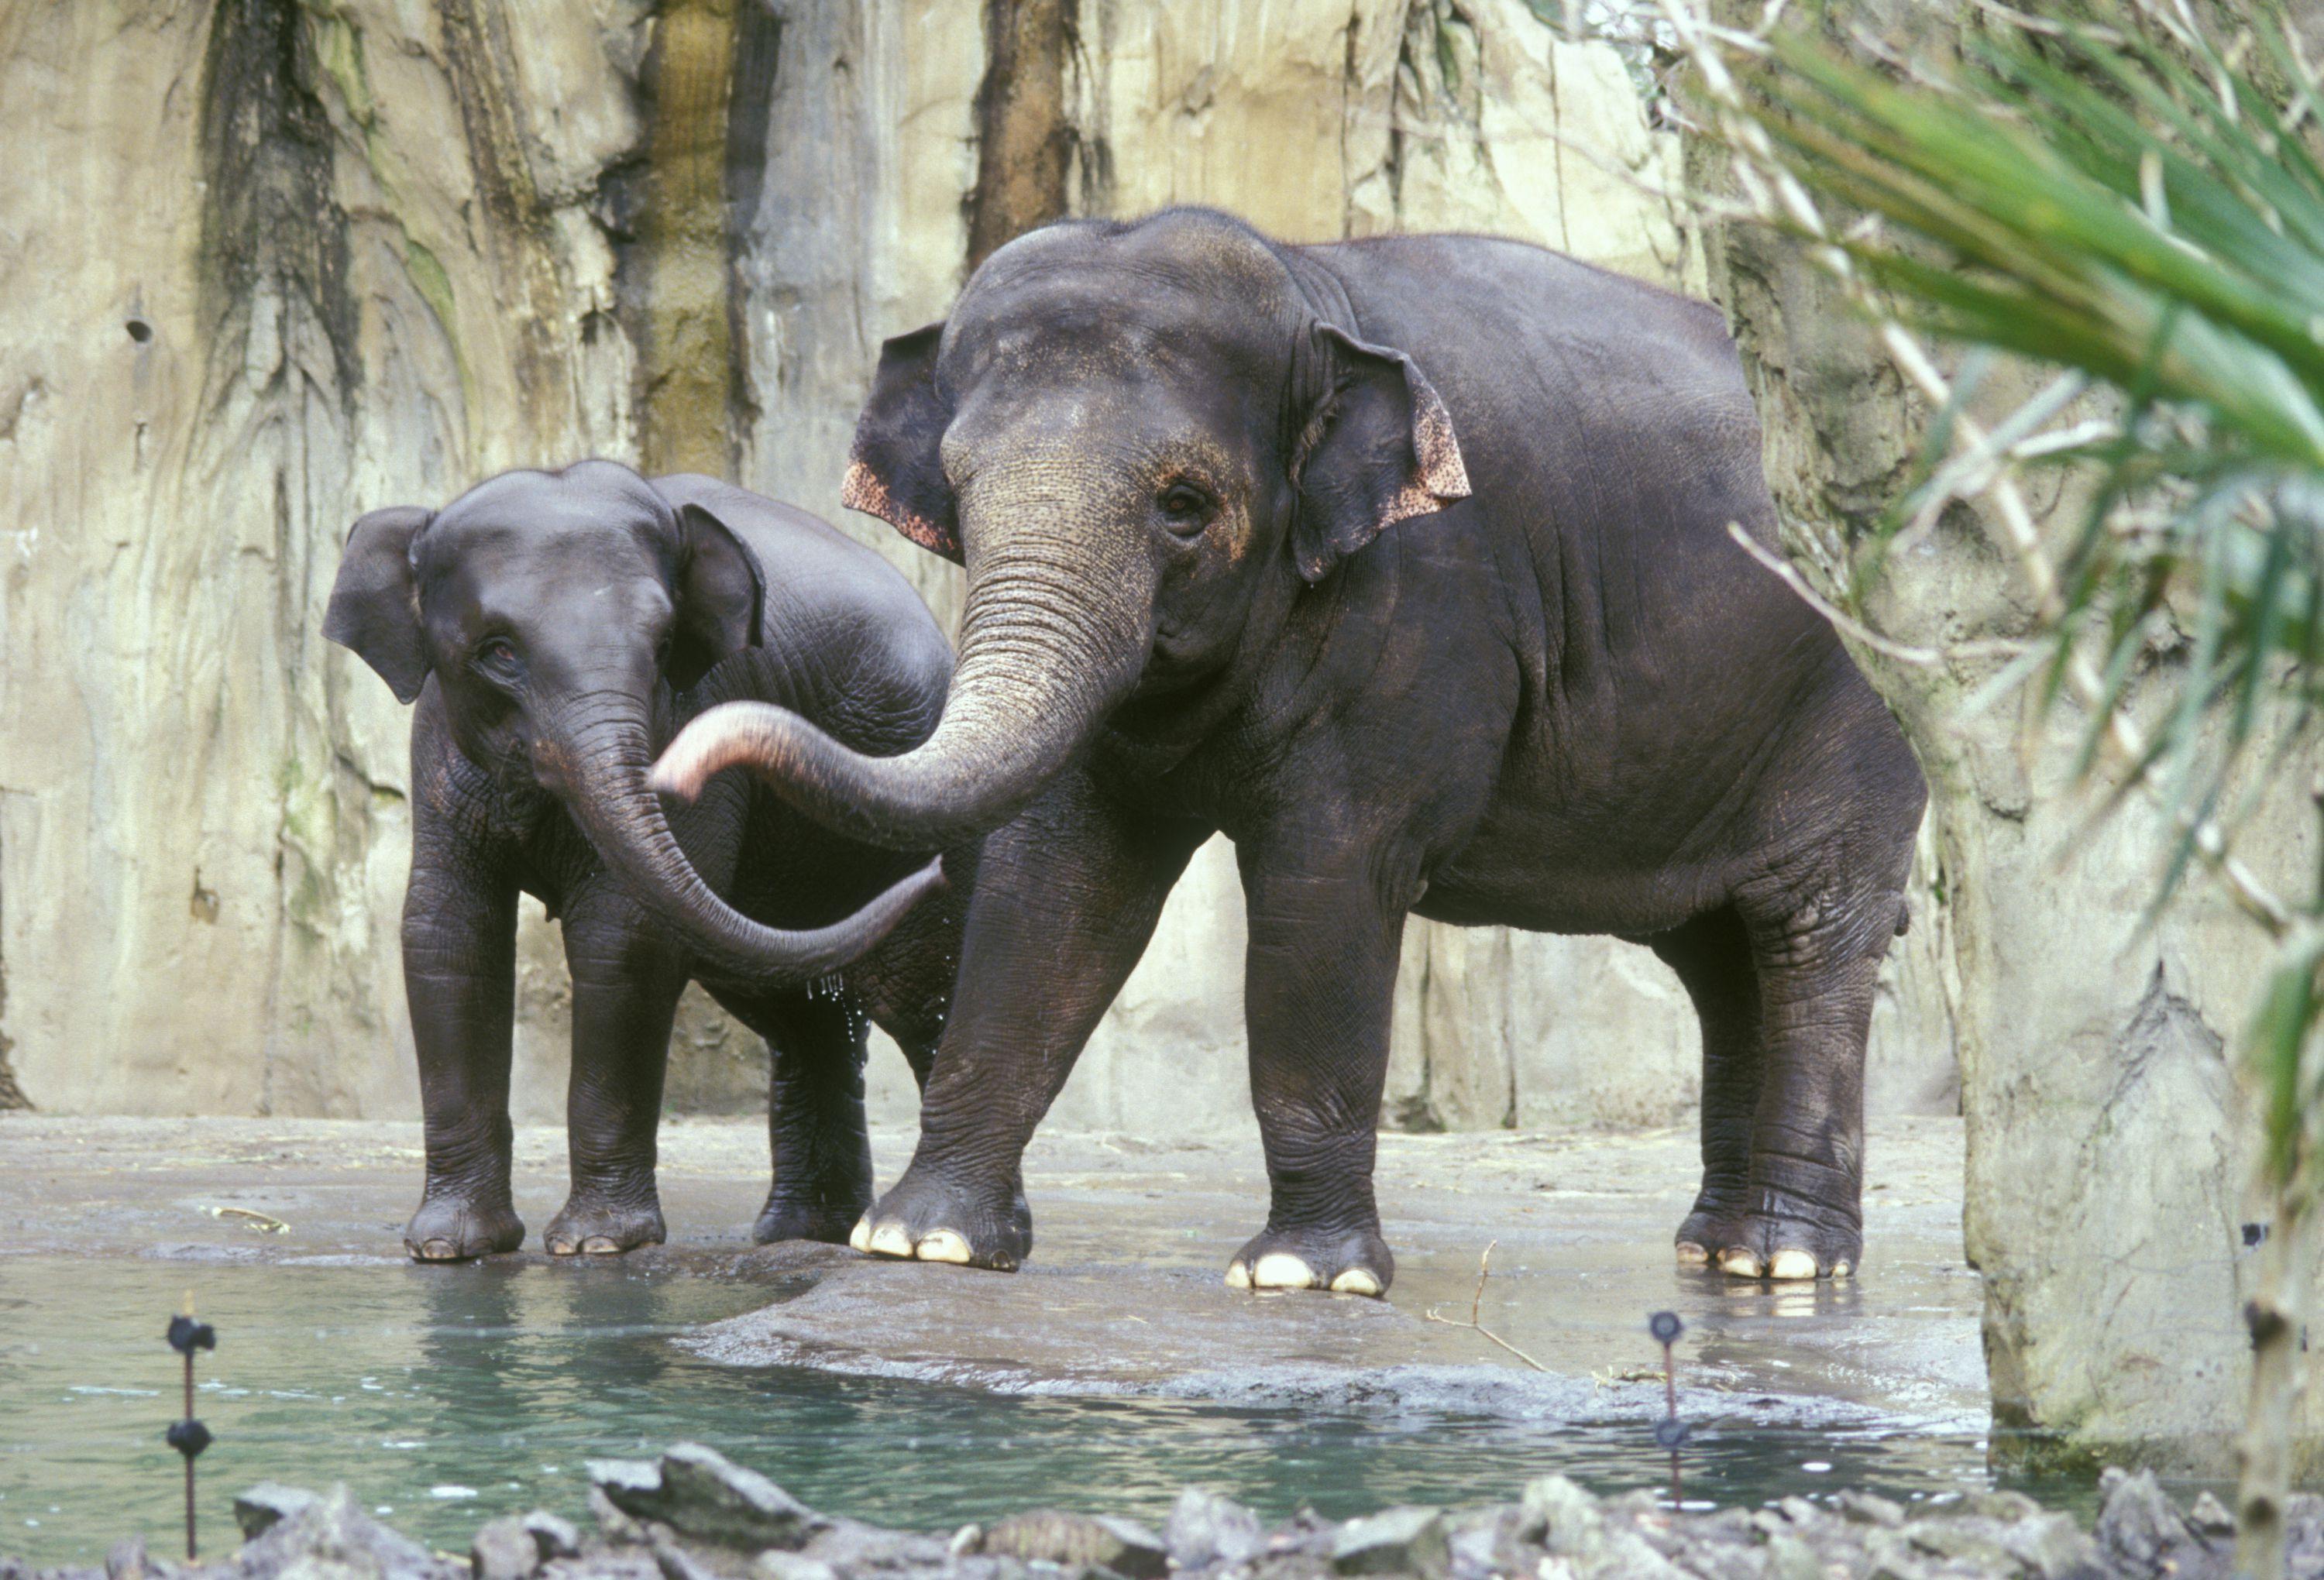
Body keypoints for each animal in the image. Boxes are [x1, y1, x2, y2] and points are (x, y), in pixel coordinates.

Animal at [324, 459, 966, 1261]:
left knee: (916, 991)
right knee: (796, 1011)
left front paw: (597, 1246)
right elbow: (447, 933)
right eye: (498, 653)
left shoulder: (704, 711)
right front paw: (450, 1247)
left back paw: (915, 1232)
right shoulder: (440, 742)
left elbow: (624, 938)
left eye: (663, 649)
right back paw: (802, 1235)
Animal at [652, 207, 1929, 1294]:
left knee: (1811, 935)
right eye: (960, 495)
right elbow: (1058, 885)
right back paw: (1716, 1251)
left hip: (1864, 712)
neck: (1314, 287)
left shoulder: (1427, 606)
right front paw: (927, 1245)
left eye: (1184, 505)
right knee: (1720, 955)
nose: (680, 759)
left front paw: (1302, 1277)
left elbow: (1326, 886)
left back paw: (1784, 1262)